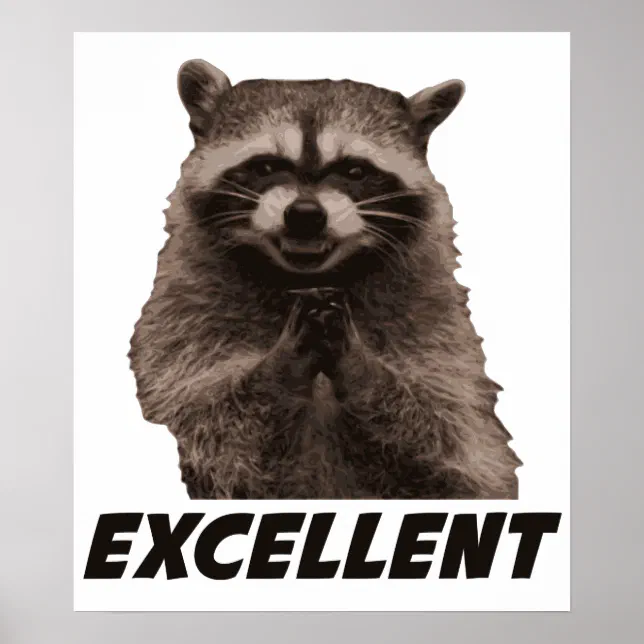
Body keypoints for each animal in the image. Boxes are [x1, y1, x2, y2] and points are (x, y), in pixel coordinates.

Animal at [128, 59, 521, 500]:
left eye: (355, 170)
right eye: (266, 166)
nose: (305, 215)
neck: (300, 279)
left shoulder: (438, 329)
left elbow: (458, 448)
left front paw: (363, 366)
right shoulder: (181, 320)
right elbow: (207, 427)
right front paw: (279, 367)